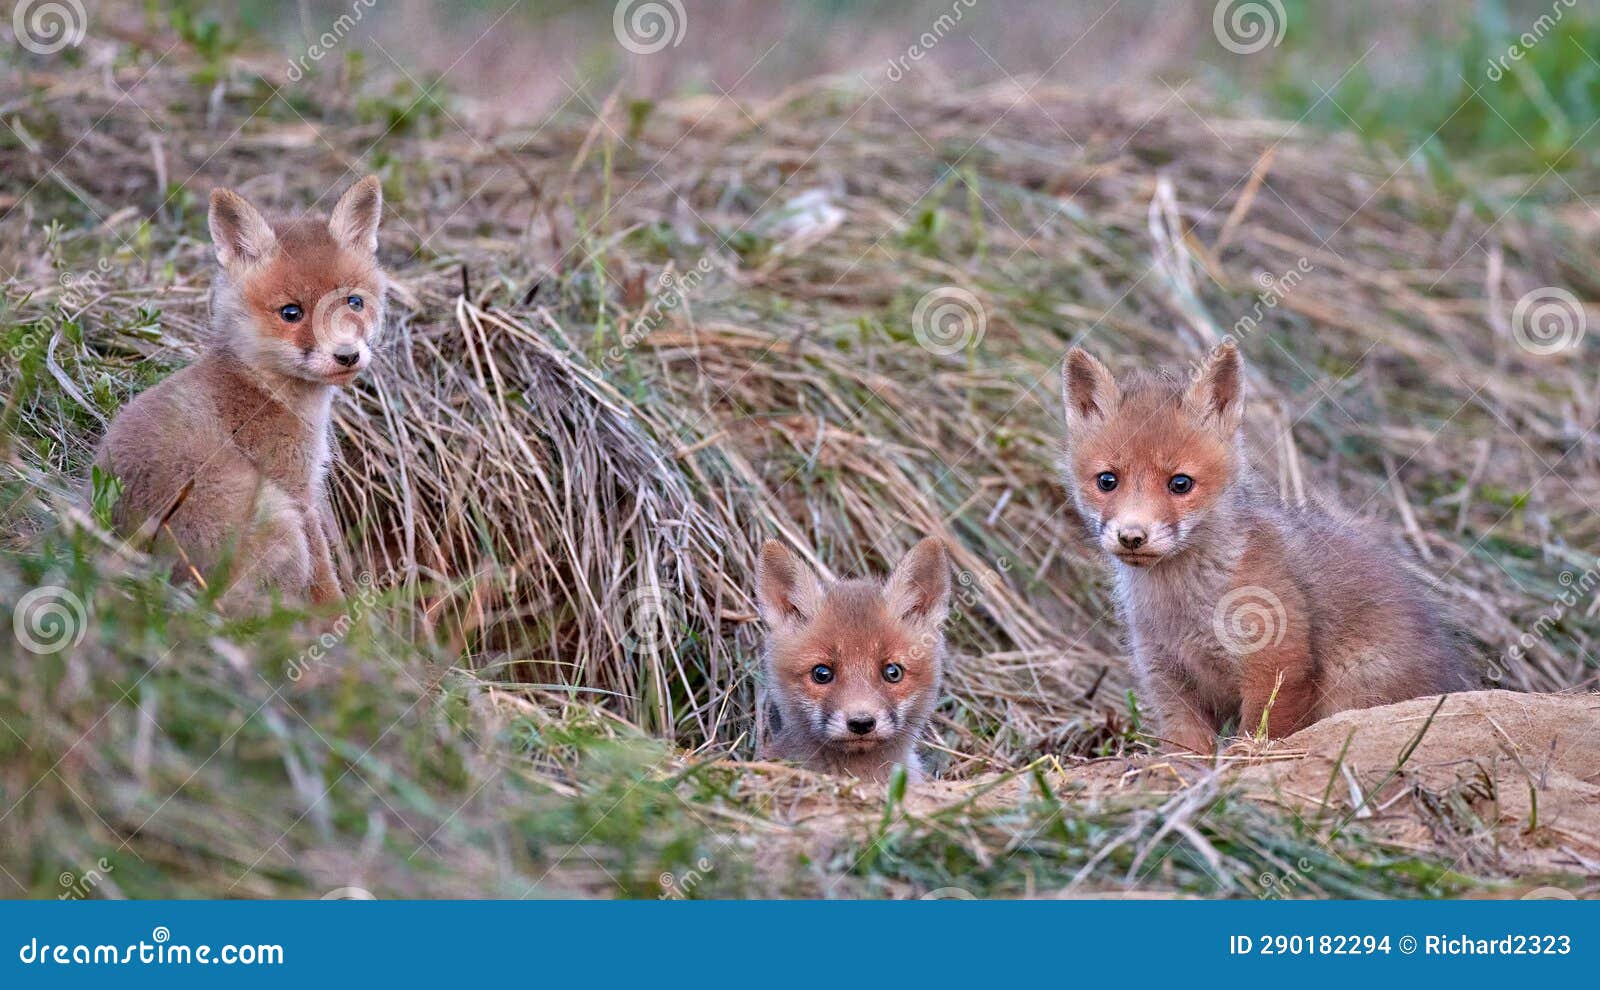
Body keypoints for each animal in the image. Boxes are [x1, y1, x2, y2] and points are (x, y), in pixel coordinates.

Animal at [95, 176, 387, 606]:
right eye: (291, 313)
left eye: (354, 301)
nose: (347, 355)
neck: (262, 389)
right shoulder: (297, 490)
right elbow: (323, 578)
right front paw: (344, 620)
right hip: (276, 517)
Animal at [1059, 342, 1473, 754]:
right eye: (1107, 480)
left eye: (1180, 483)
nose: (1132, 536)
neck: (1182, 612)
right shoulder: (1168, 681)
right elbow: (1183, 754)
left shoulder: (1277, 667)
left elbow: (1259, 739)